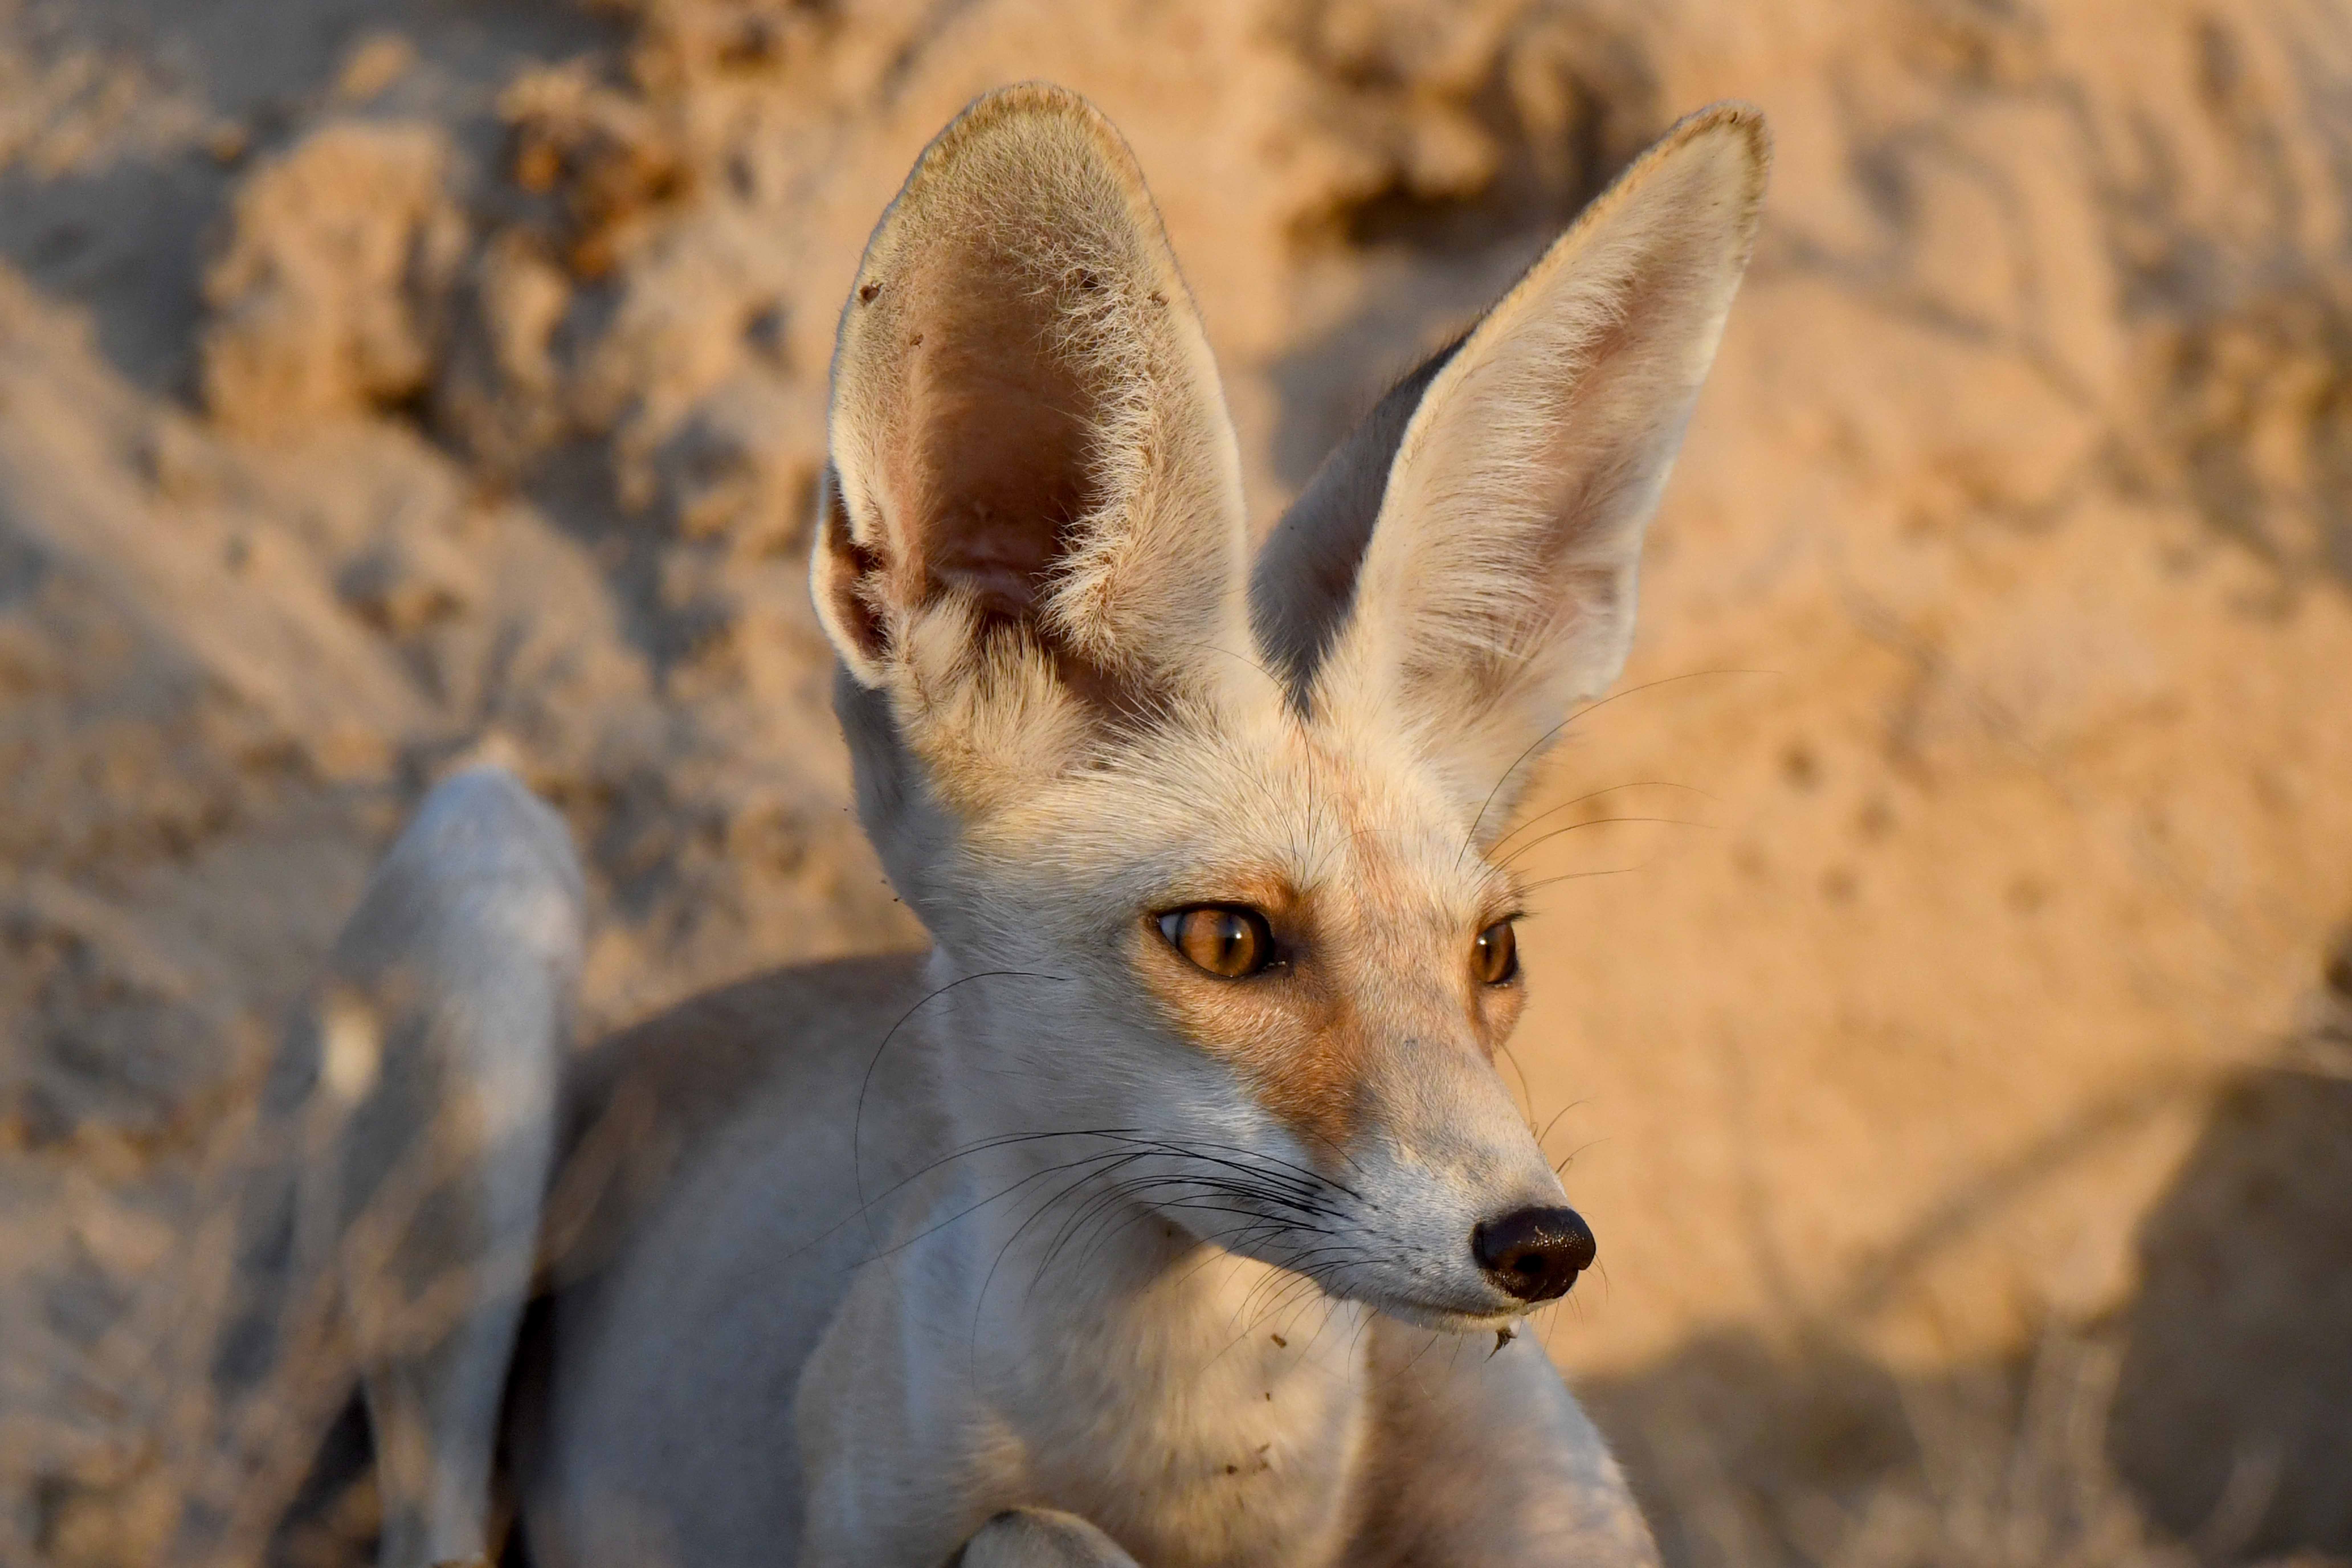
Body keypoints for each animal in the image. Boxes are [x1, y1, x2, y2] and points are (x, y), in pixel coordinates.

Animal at [226, 82, 1767, 1568]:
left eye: (1494, 953)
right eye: (1225, 938)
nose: (1544, 1242)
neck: (1194, 1485)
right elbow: (1032, 1525)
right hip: (486, 884)